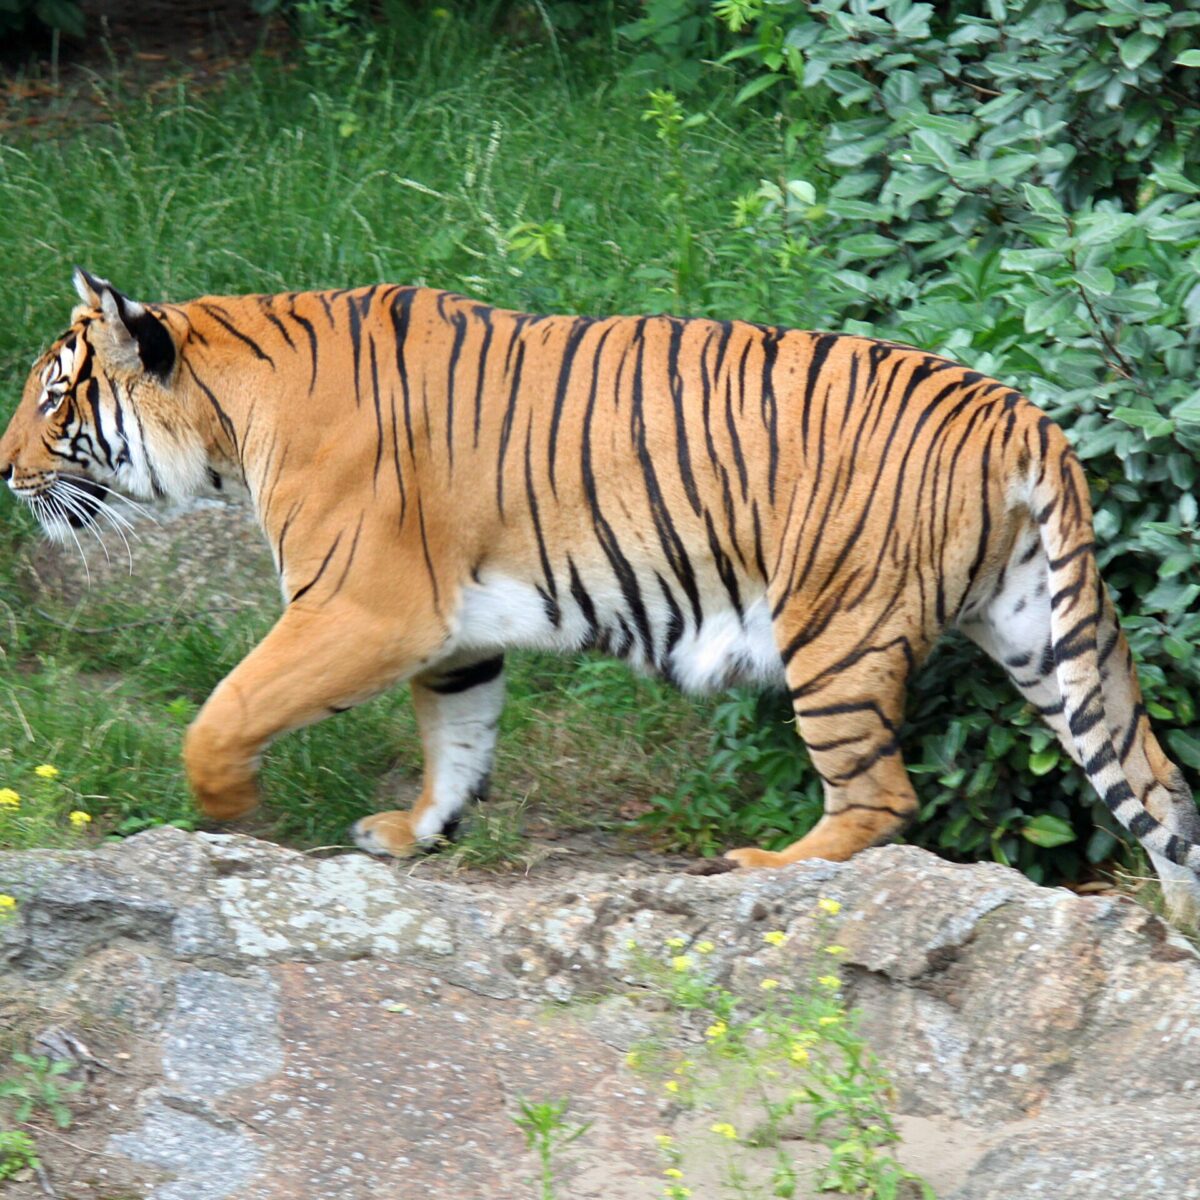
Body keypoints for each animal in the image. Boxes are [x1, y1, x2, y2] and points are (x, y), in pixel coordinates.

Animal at [3, 268, 1199, 924]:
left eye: (56, 399)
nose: (5, 469)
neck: (228, 418)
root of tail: (1019, 412)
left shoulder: (362, 608)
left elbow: (225, 711)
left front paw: (229, 818)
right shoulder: (453, 633)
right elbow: (459, 740)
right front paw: (415, 831)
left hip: (836, 630)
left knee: (880, 797)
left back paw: (762, 867)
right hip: (1047, 638)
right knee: (1156, 785)